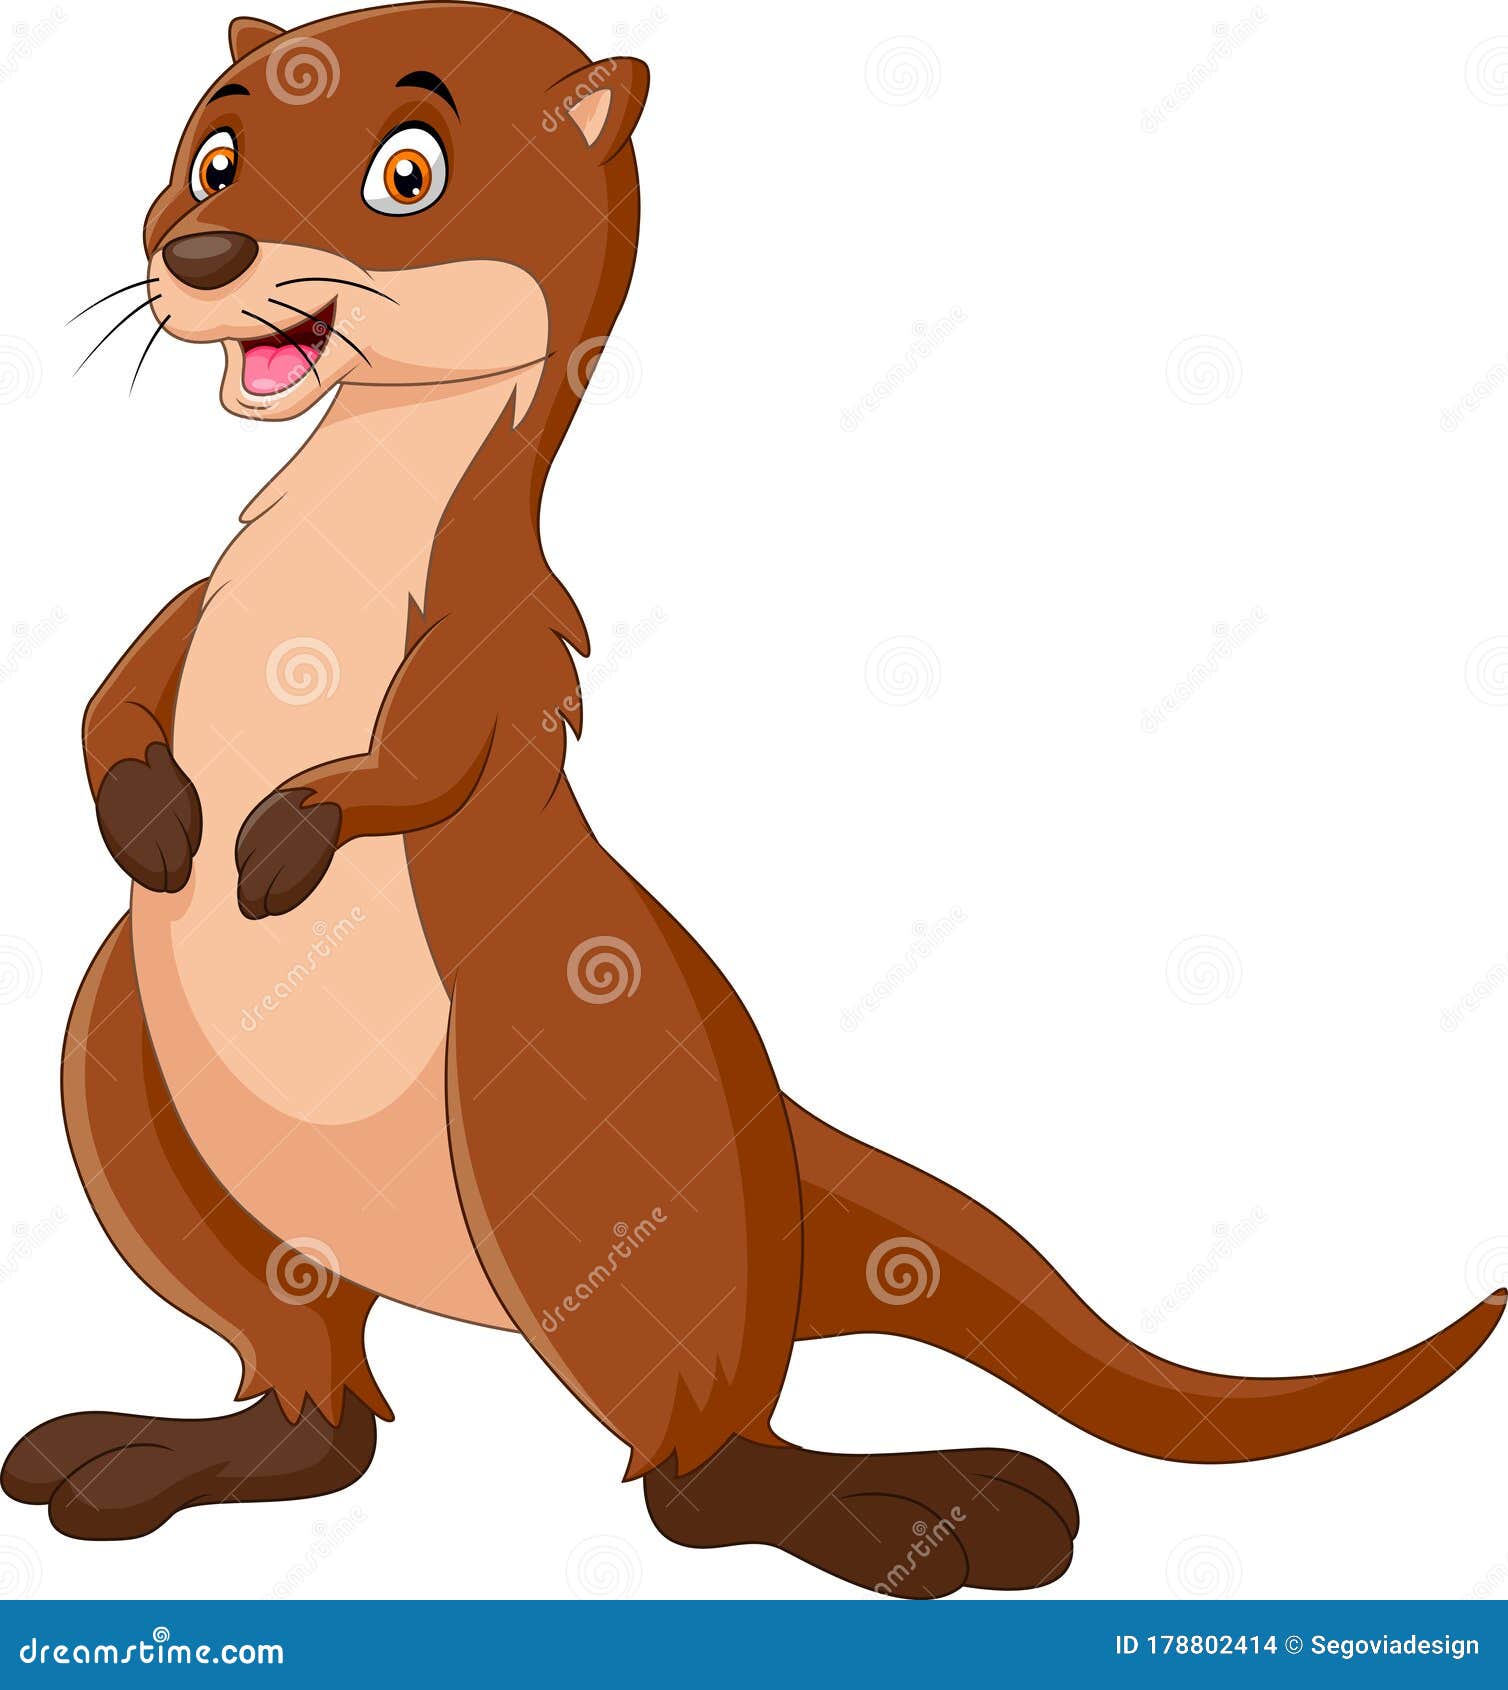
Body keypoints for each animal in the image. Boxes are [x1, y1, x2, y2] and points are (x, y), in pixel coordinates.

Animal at [4, 4, 1501, 1598]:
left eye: (407, 173)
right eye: (214, 154)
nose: (204, 253)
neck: (323, 580)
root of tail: (774, 1141)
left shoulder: (493, 639)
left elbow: (430, 760)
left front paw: (293, 833)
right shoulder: (195, 608)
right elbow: (111, 693)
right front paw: (149, 815)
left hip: (579, 1094)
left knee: (692, 1457)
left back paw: (925, 1508)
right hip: (121, 1068)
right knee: (318, 1395)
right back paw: (134, 1455)